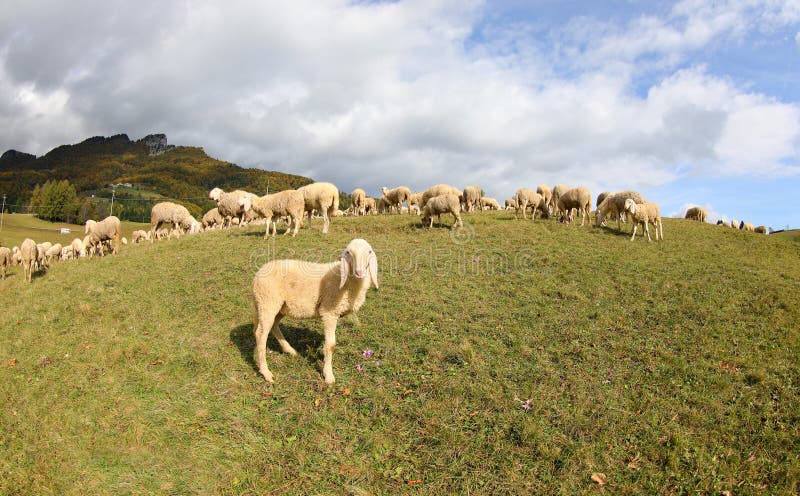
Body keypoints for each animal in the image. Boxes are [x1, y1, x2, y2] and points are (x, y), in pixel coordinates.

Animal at [252, 238, 378, 384]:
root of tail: (258, 274)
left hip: (279, 307)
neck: (347, 282)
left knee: (273, 325)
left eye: (369, 252)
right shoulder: (329, 312)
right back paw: (266, 372)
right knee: (261, 334)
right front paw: (328, 375)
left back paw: (289, 350)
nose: (359, 272)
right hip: (267, 302)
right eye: (348, 252)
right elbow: (330, 345)